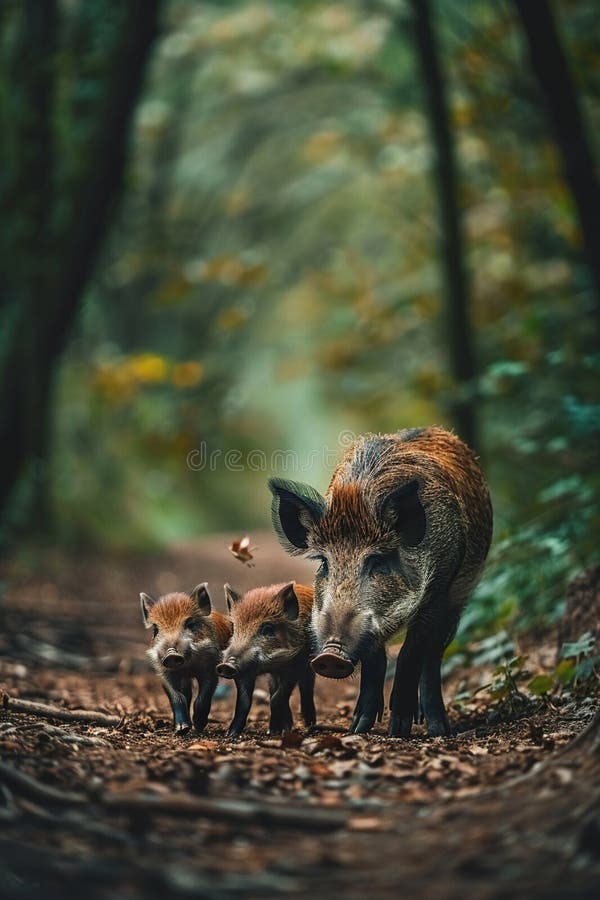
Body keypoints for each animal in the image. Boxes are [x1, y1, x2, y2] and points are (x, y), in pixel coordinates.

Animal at [140, 584, 232, 734]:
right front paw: (181, 729)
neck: (188, 667)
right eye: (155, 629)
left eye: (190, 624)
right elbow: (177, 697)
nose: (171, 654)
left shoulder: (210, 669)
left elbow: (202, 697)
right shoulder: (164, 672)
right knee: (187, 695)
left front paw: (199, 726)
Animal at [216, 582, 316, 737]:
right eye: (233, 628)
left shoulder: (294, 667)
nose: (226, 665)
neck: (270, 665)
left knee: (306, 689)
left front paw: (274, 733)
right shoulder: (244, 672)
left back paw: (309, 726)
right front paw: (230, 734)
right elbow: (243, 702)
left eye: (268, 629)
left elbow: (276, 698)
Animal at [268, 426, 493, 738]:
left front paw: (398, 730)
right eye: (324, 563)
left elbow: (412, 653)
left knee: (434, 656)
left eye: (377, 561)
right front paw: (358, 727)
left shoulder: (440, 589)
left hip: (458, 597)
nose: (330, 656)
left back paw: (436, 728)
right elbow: (375, 660)